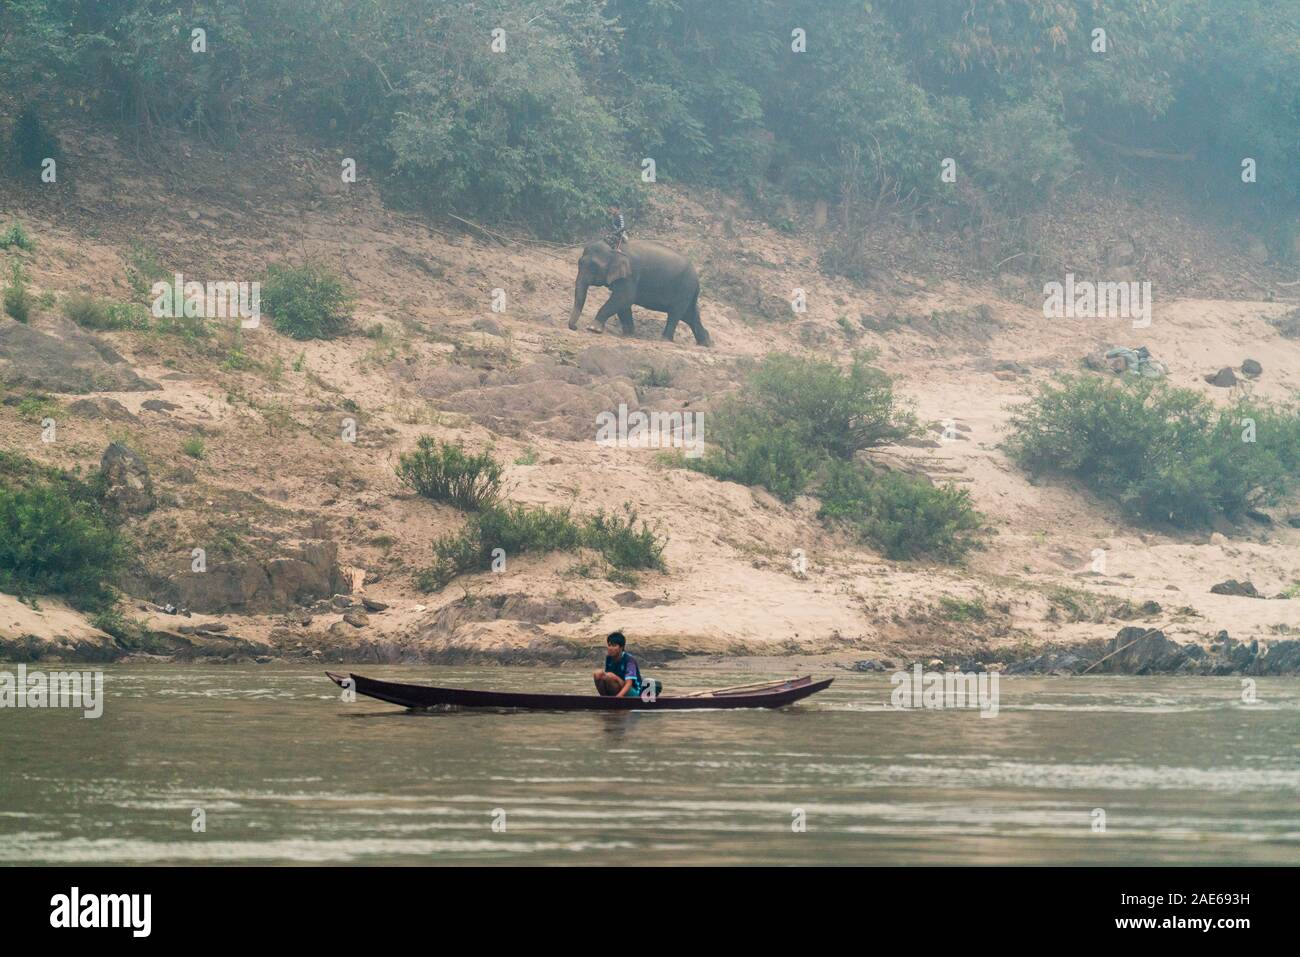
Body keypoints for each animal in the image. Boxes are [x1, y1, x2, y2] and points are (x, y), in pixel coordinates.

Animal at [567, 239, 711, 346]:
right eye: (579, 262)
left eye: (594, 267)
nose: (574, 327)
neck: (615, 249)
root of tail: (698, 279)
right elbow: (623, 305)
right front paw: (629, 334)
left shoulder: (631, 276)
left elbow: (624, 298)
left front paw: (593, 328)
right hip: (688, 292)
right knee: (689, 315)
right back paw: (707, 343)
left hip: (684, 288)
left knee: (676, 313)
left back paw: (664, 340)